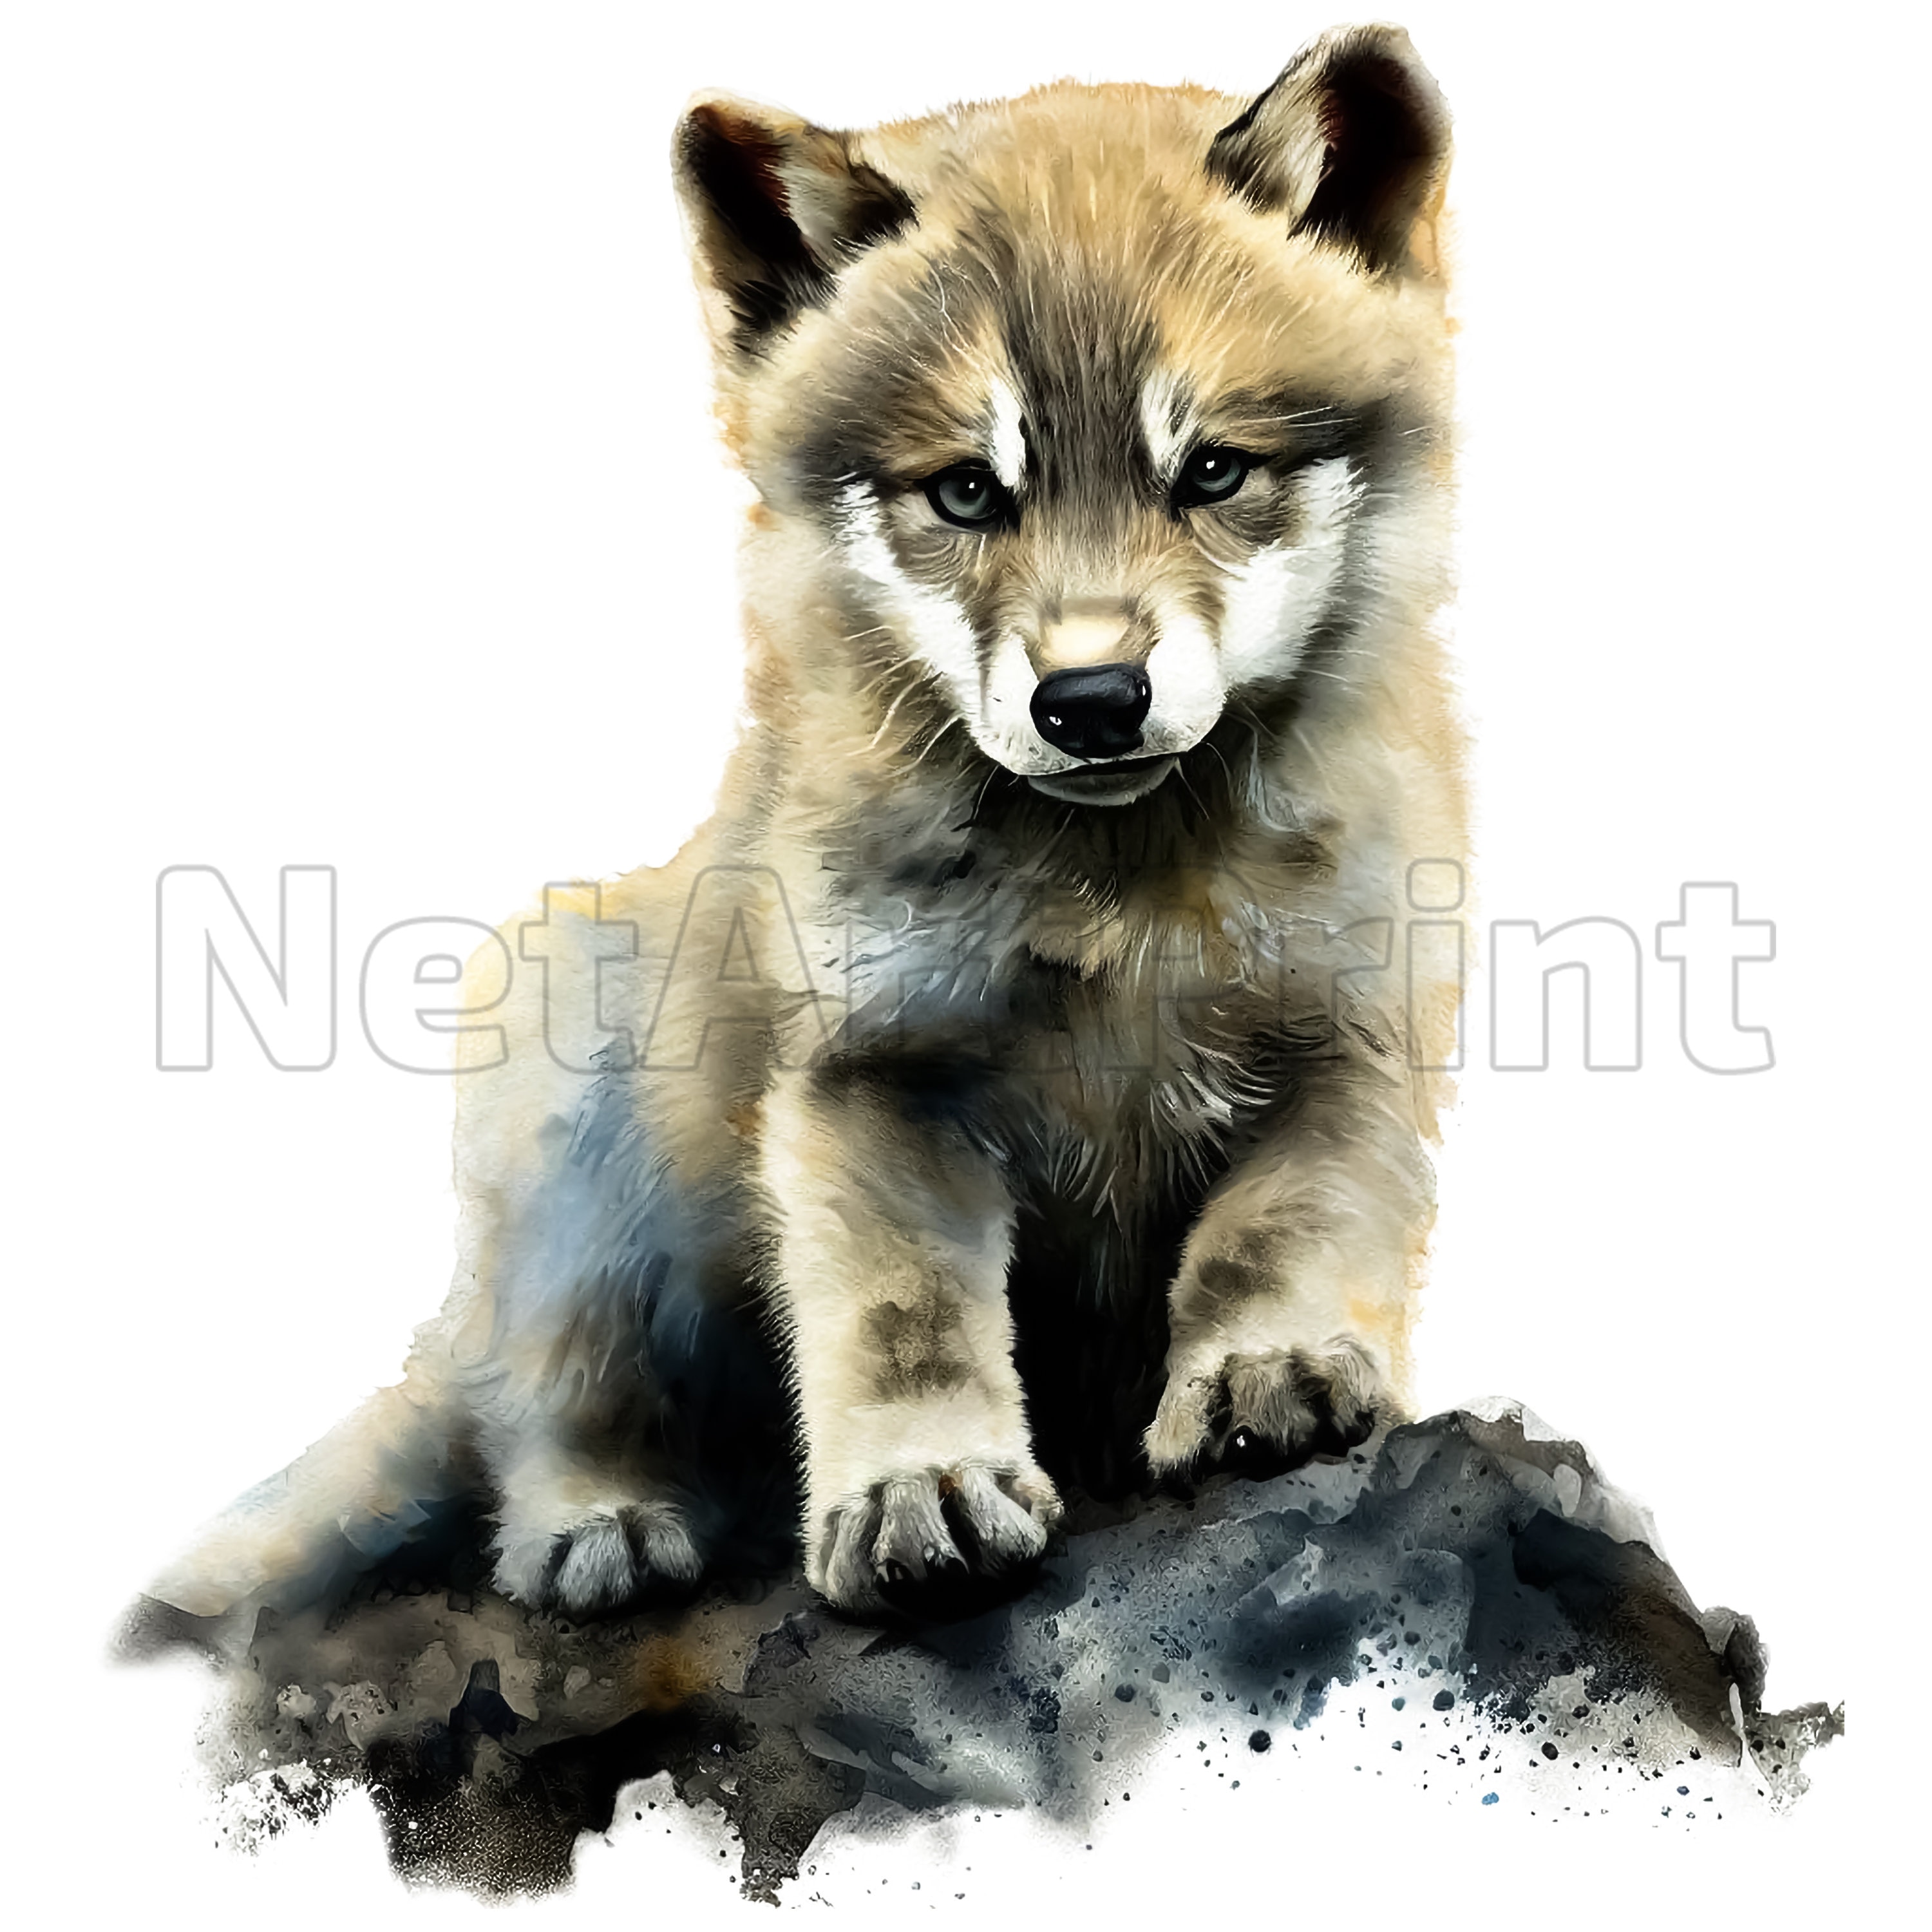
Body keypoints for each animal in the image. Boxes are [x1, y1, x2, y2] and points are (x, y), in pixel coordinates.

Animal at [155, 23, 1466, 1625]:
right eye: (965, 492)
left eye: (1213, 470)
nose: (1093, 700)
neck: (1117, 907)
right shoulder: (867, 1075)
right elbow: (902, 1318)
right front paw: (924, 1491)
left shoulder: (1351, 1035)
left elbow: (1280, 1231)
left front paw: (1259, 1373)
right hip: (566, 1120)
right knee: (546, 1410)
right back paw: (604, 1528)